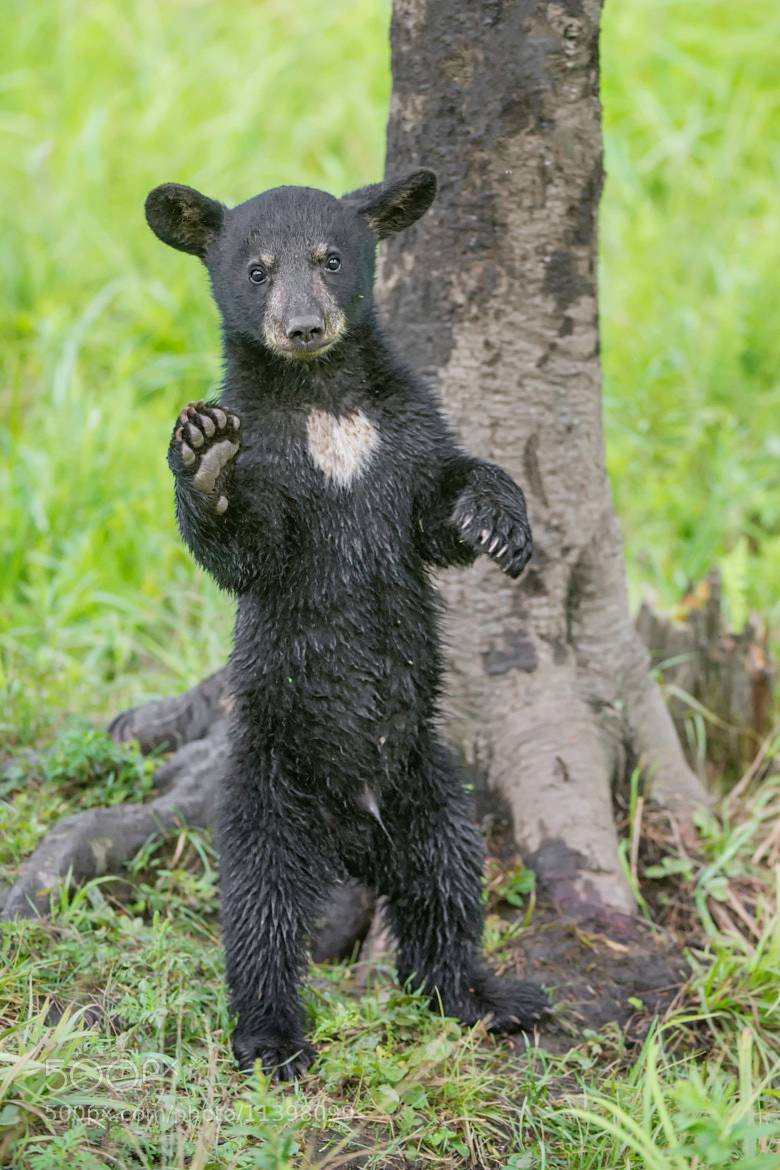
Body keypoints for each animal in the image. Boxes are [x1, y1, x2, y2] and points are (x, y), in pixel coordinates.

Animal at [144, 169, 548, 1080]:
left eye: (331, 258)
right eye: (257, 268)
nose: (304, 327)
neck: (323, 401)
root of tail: (354, 835)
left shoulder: (405, 433)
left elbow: (438, 512)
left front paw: (499, 521)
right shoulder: (276, 468)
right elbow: (249, 552)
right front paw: (205, 456)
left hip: (429, 787)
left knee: (445, 890)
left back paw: (488, 997)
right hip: (266, 790)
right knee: (259, 916)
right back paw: (271, 1037)